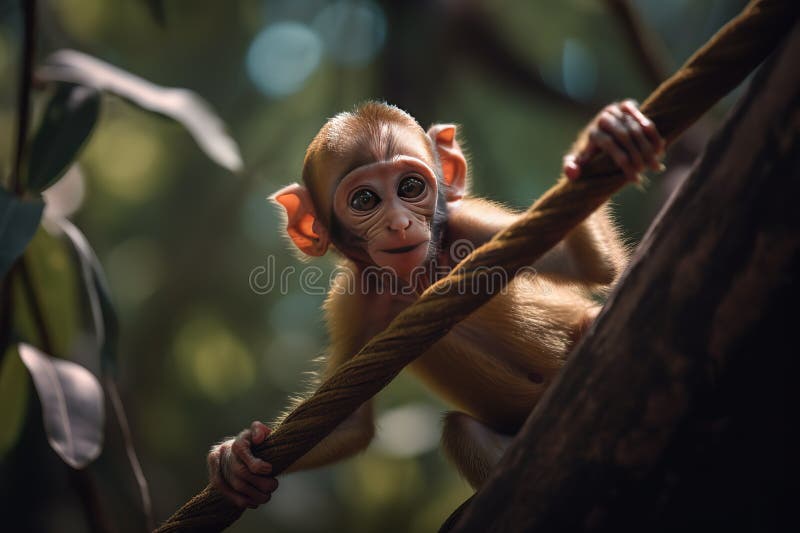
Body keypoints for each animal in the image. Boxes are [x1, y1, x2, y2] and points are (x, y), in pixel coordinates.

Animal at [207, 99, 665, 506]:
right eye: (365, 200)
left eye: (410, 188)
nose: (399, 223)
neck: (418, 280)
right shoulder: (354, 299)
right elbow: (352, 423)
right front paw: (240, 454)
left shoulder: (471, 224)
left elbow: (593, 267)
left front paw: (603, 136)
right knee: (463, 431)